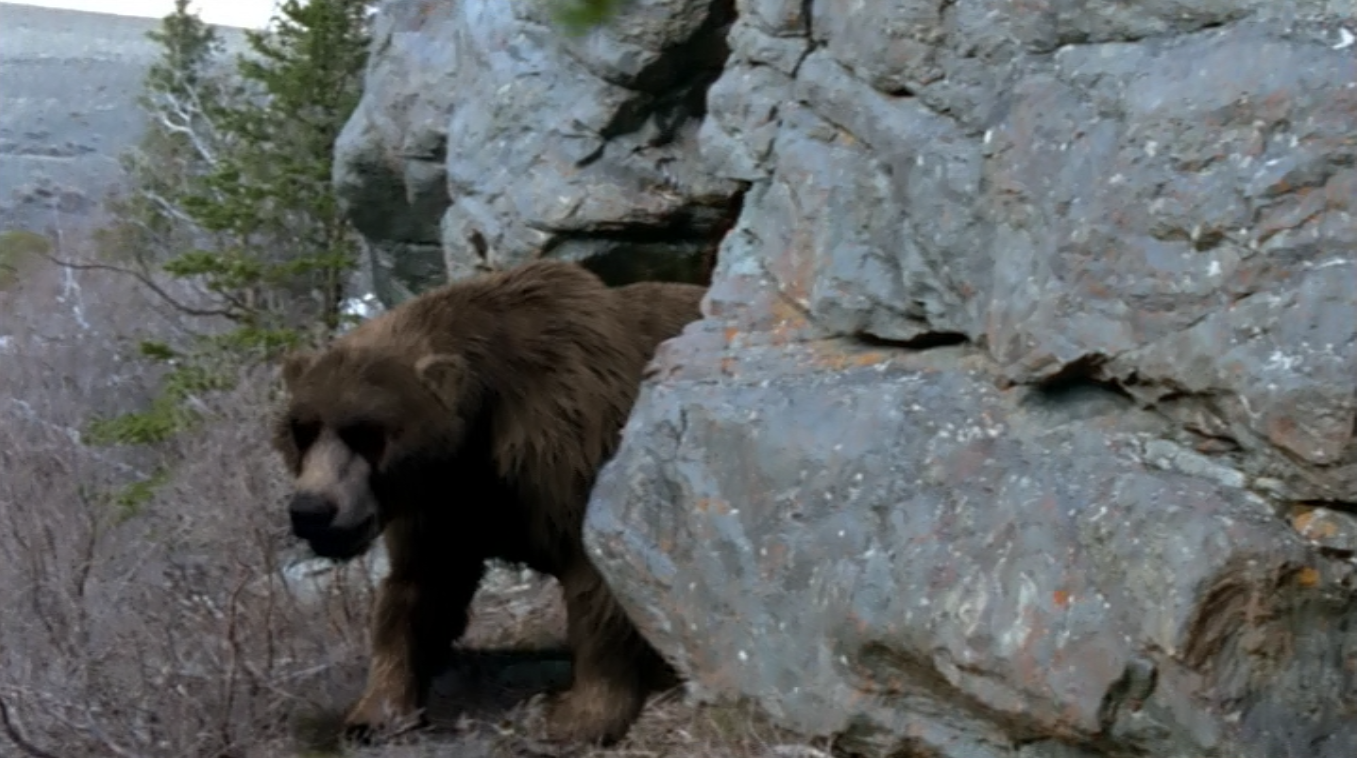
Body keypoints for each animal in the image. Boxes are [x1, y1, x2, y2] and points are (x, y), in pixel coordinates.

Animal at [270, 259, 705, 746]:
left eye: (367, 433)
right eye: (302, 430)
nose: (312, 511)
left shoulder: (567, 449)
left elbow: (596, 580)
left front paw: (578, 715)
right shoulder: (443, 502)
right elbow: (418, 592)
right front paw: (374, 712)